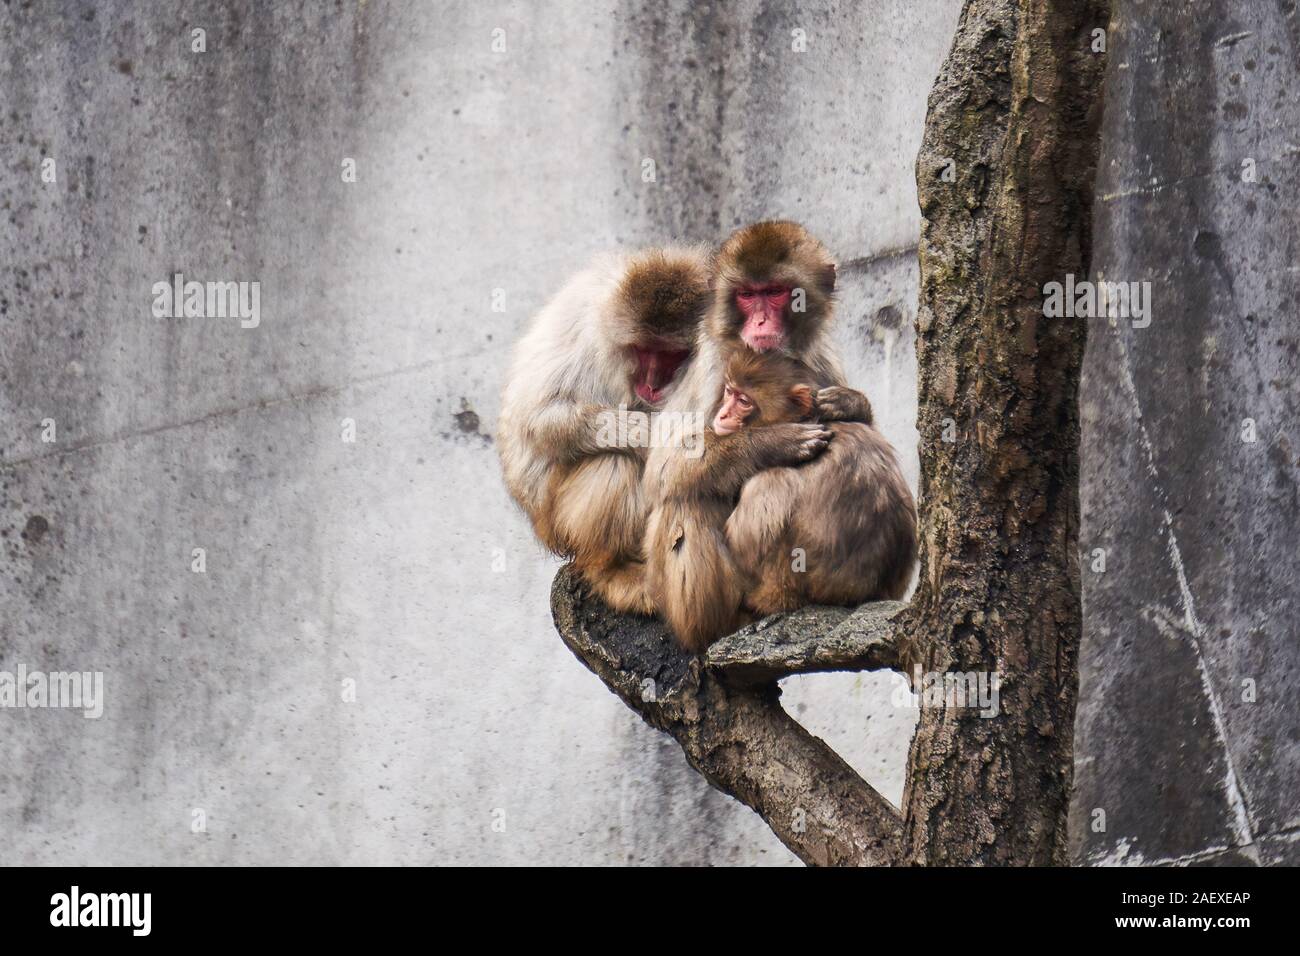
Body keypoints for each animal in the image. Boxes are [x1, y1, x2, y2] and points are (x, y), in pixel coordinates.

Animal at [498, 245, 711, 614]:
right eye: (643, 350)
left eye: (671, 356)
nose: (652, 385)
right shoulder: (583, 325)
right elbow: (538, 417)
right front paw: (647, 433)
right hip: (557, 521)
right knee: (615, 461)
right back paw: (611, 569)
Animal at [643, 221, 882, 650]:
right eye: (747, 295)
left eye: (774, 292)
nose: (758, 324)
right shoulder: (713, 364)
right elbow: (663, 470)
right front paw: (775, 442)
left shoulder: (821, 358)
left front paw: (851, 403)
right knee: (688, 499)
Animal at [715, 349, 917, 613]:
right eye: (730, 391)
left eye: (744, 401)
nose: (723, 414)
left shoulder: (767, 479)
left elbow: (745, 545)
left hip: (783, 586)